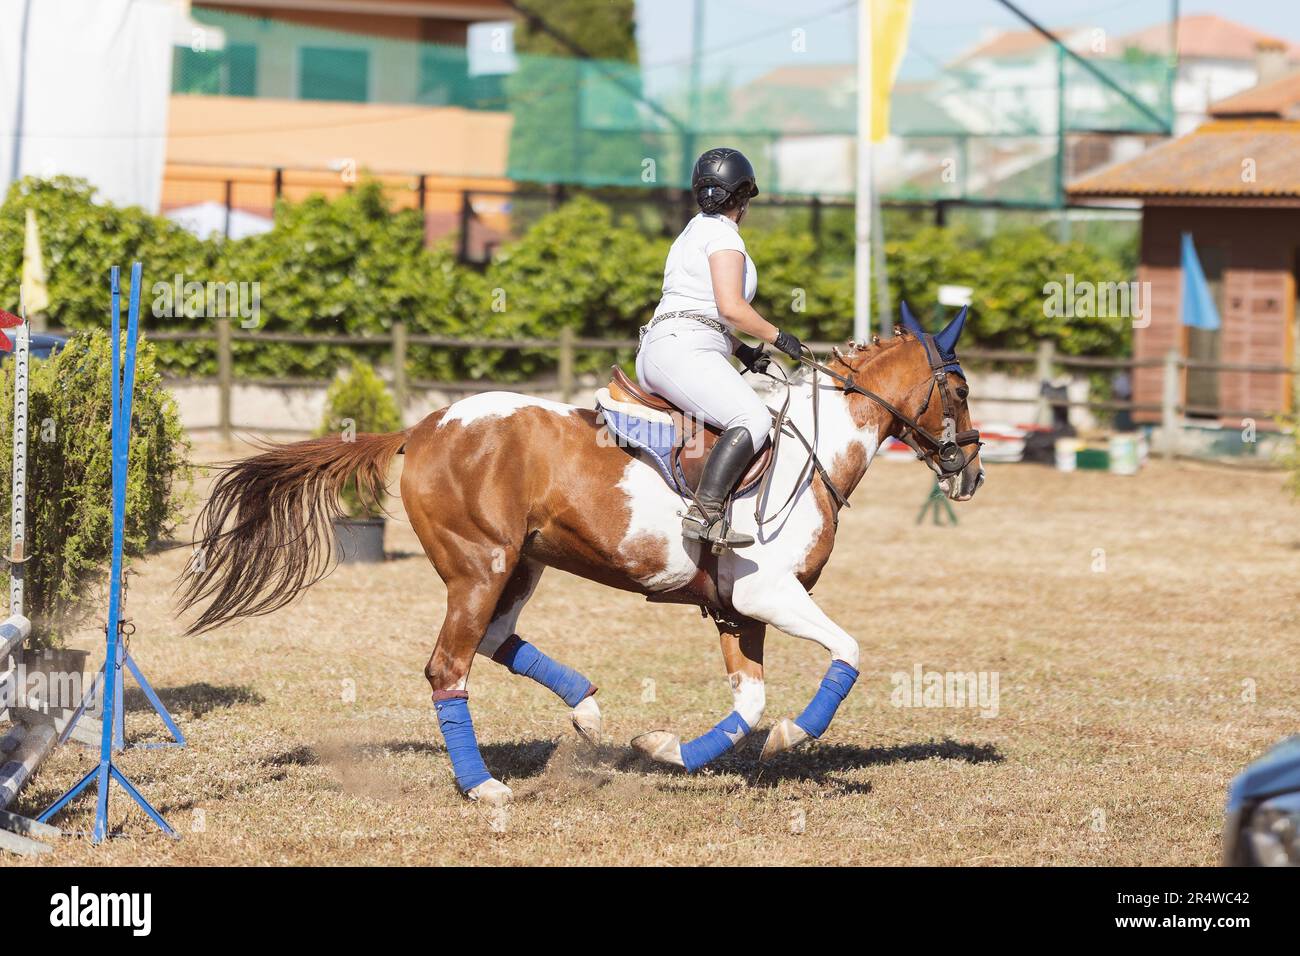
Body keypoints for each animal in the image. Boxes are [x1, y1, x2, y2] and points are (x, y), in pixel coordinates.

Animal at [176, 305, 984, 806]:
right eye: (960, 391)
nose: (971, 471)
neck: (810, 452)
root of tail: (427, 426)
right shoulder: (769, 596)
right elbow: (847, 653)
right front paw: (794, 736)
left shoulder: (735, 609)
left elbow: (748, 703)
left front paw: (663, 750)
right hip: (481, 566)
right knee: (450, 667)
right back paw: (484, 787)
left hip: (520, 565)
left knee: (497, 641)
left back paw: (589, 715)